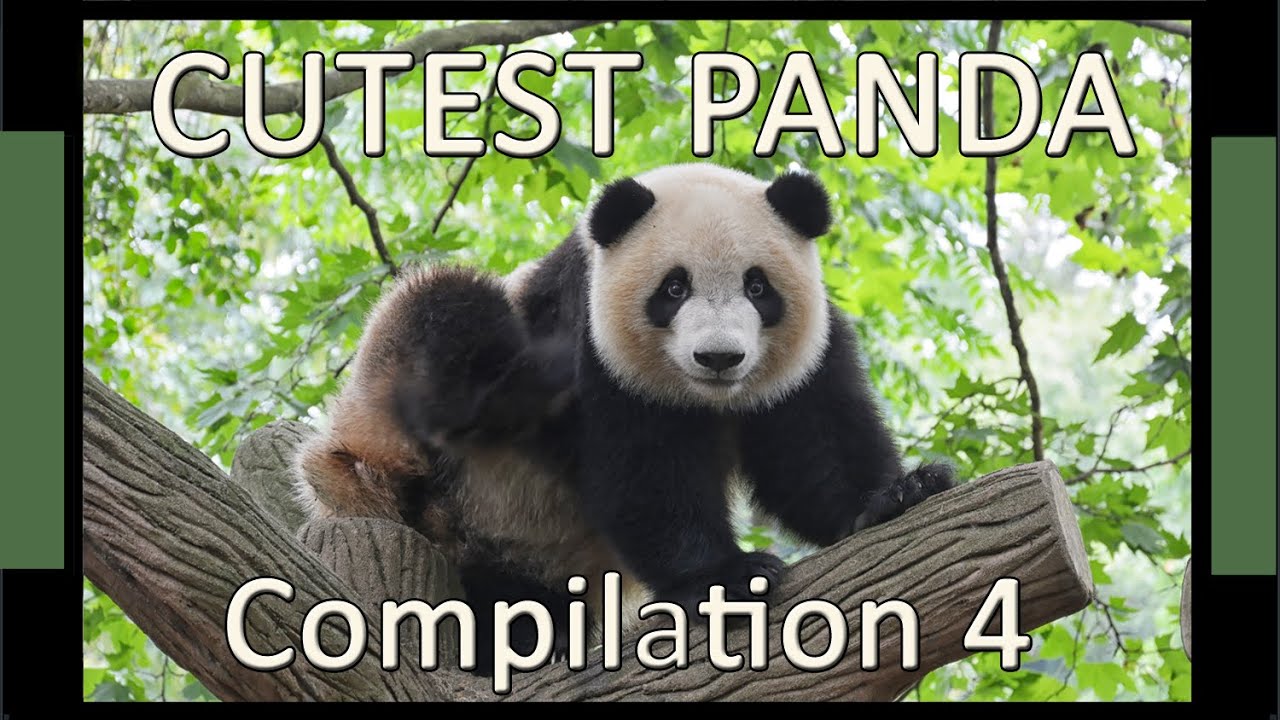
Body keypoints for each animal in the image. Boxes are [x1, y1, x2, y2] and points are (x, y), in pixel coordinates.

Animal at [292, 162, 955, 678]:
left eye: (758, 287)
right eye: (674, 288)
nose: (719, 357)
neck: (706, 398)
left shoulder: (804, 357)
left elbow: (812, 451)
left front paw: (898, 493)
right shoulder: (597, 345)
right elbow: (644, 475)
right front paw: (728, 576)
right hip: (407, 443)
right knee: (444, 308)